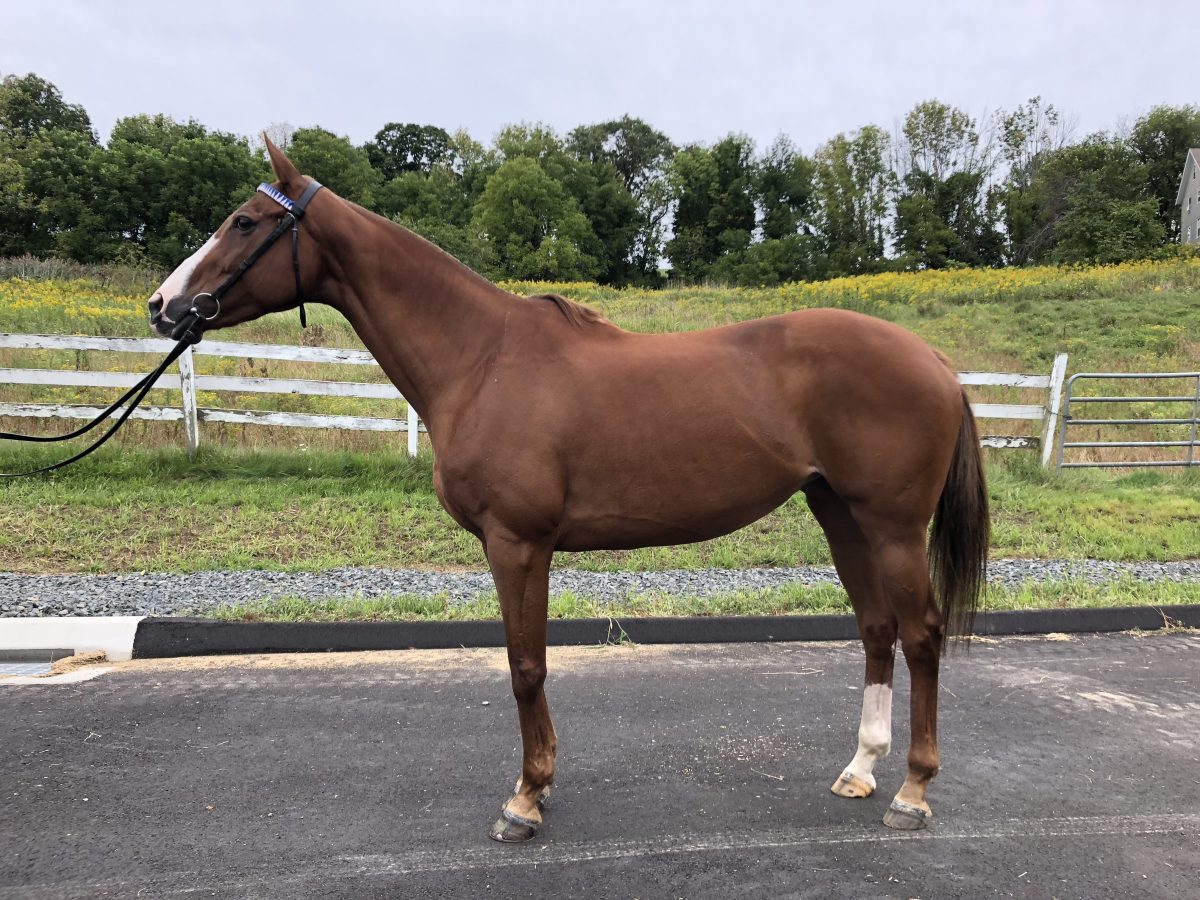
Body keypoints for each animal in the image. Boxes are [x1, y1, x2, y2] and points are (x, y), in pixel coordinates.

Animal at [148, 138, 989, 843]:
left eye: (244, 221)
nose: (163, 305)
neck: (481, 359)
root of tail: (936, 362)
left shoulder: (517, 543)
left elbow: (526, 666)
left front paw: (524, 799)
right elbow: (531, 662)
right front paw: (540, 786)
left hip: (891, 526)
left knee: (920, 634)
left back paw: (912, 792)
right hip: (839, 513)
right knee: (876, 631)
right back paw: (860, 771)